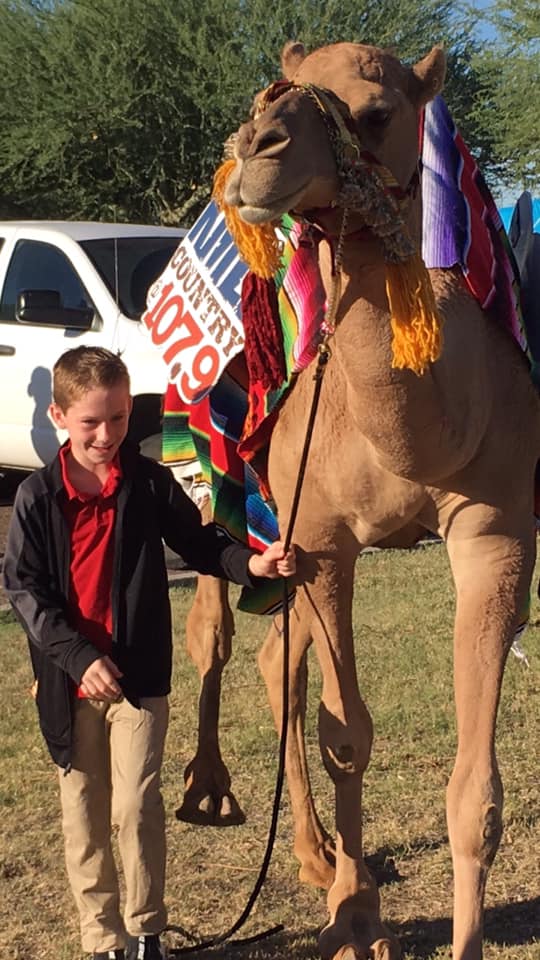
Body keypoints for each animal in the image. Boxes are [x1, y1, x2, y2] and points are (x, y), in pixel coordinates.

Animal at [176, 40, 540, 960]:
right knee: (215, 637)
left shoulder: (495, 531)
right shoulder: (324, 538)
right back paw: (217, 799)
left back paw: (311, 856)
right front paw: (359, 921)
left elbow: (477, 788)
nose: (254, 150)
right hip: (217, 488)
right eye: (267, 97)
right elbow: (346, 735)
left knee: (277, 660)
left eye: (377, 114)